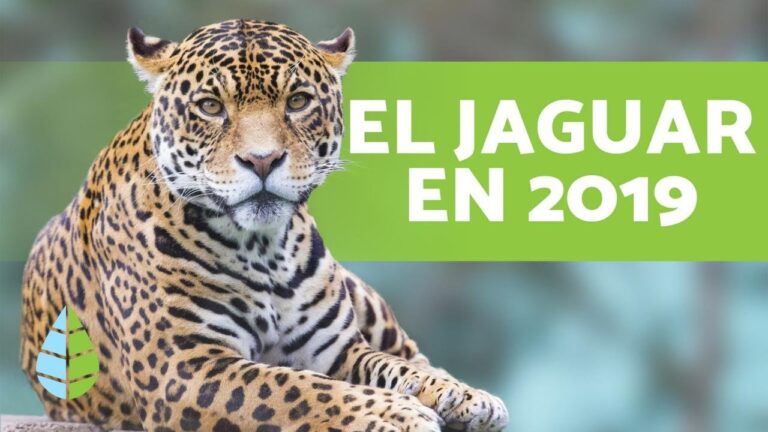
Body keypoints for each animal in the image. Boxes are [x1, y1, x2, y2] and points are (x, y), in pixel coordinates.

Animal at [20, 19, 509, 432]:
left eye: (298, 101)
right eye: (210, 106)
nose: (262, 159)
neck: (261, 248)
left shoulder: (337, 350)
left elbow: (388, 366)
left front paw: (453, 395)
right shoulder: (183, 367)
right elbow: (296, 388)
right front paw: (396, 412)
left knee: (412, 353)